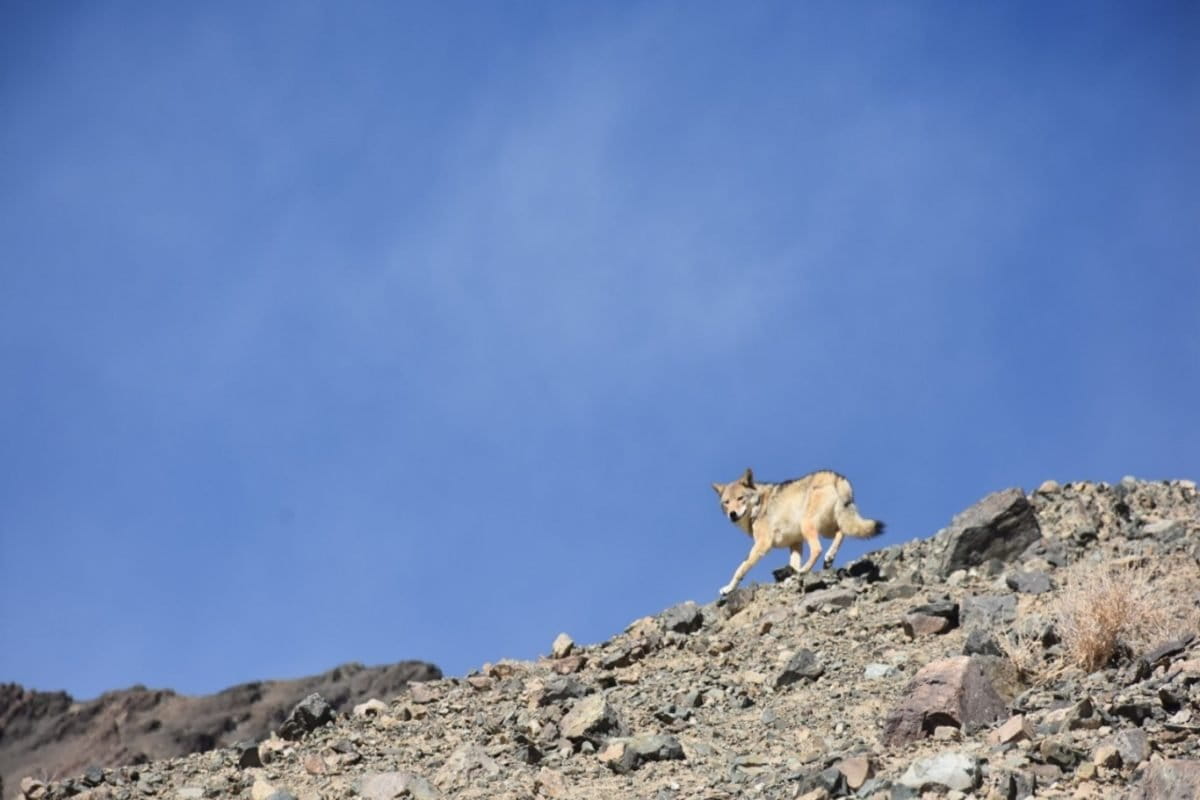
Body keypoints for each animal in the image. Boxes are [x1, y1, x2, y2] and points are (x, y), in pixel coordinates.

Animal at [711, 468, 884, 596]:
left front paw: (728, 588)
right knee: (842, 532)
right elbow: (793, 563)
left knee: (817, 549)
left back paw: (805, 570)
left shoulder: (762, 544)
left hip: (807, 526)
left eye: (740, 498)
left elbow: (741, 568)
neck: (758, 505)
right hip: (827, 527)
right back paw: (829, 558)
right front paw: (791, 577)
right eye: (726, 502)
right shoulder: (795, 543)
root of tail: (836, 477)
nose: (732, 514)